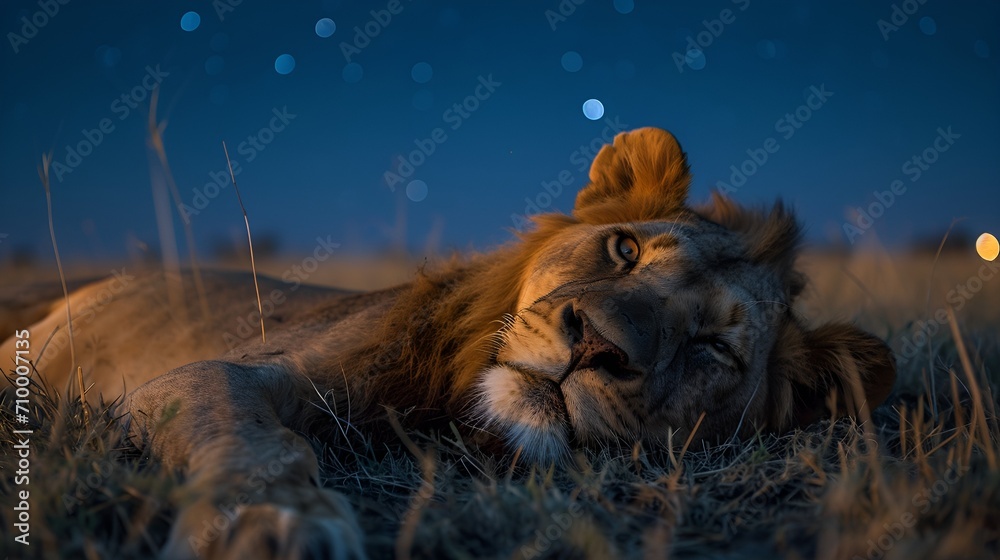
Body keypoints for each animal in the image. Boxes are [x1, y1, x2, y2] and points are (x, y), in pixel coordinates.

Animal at [0, 128, 895, 559]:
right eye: (625, 250)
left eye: (712, 346)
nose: (595, 345)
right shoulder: (208, 377)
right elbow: (265, 447)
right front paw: (274, 528)